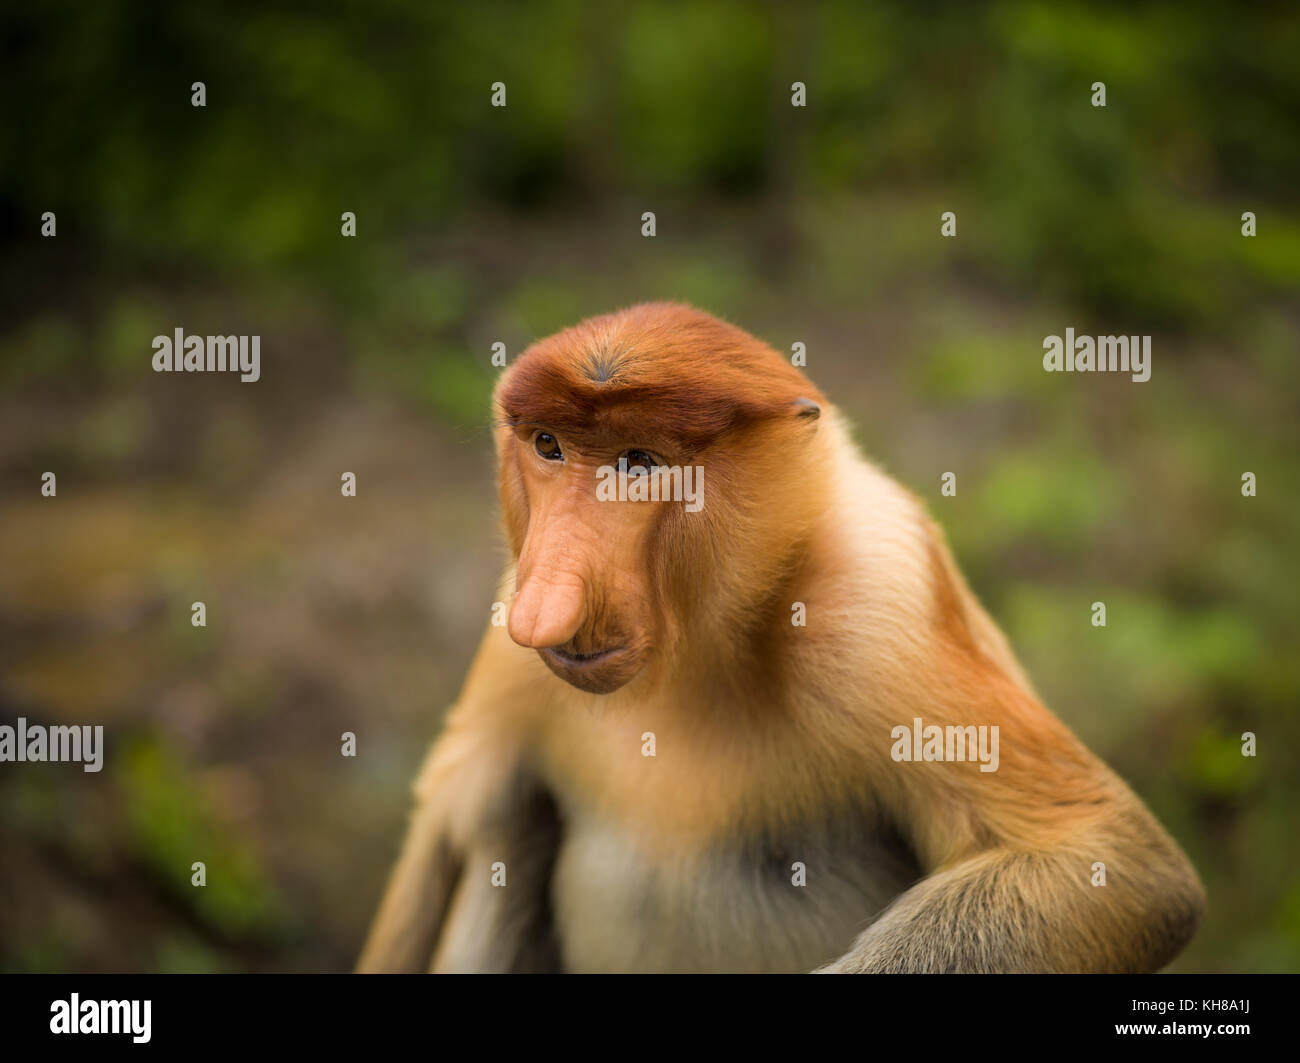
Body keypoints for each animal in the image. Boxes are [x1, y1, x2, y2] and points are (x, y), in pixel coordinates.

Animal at [357, 302, 1205, 974]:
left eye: (639, 463)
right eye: (548, 445)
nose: (544, 612)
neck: (696, 652)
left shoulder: (876, 602)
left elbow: (1110, 866)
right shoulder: (509, 644)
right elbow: (438, 839)